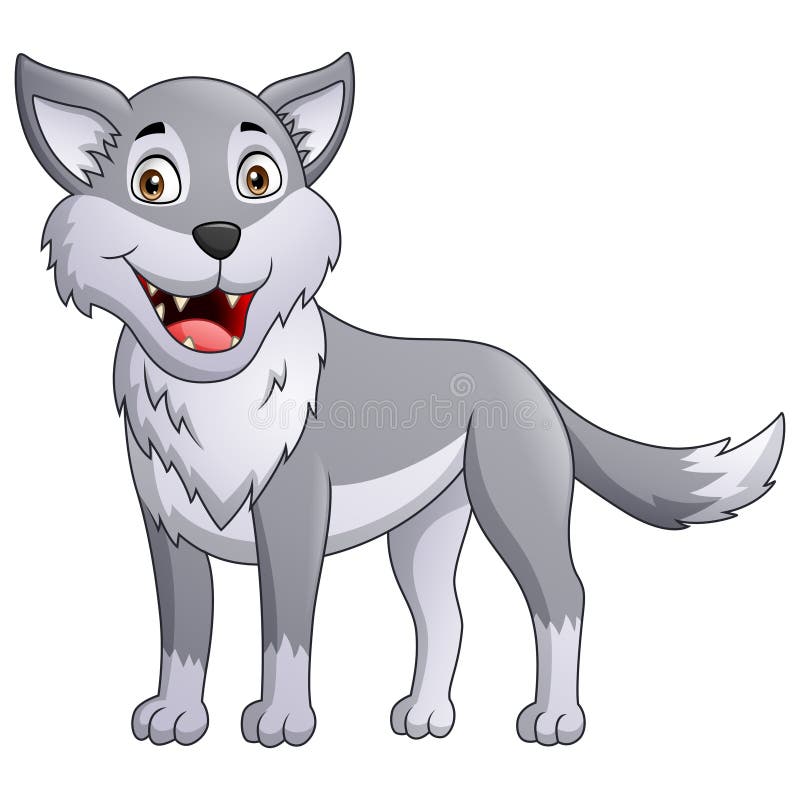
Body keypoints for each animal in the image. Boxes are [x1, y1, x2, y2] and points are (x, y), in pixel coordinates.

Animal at [16, 53, 784, 748]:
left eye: (257, 179)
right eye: (153, 183)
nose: (219, 236)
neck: (212, 400)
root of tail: (527, 376)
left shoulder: (292, 518)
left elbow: (285, 634)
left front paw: (283, 725)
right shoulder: (167, 531)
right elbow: (184, 637)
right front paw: (176, 721)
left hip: (516, 514)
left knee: (564, 599)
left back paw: (555, 721)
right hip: (423, 535)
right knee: (447, 620)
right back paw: (425, 718)